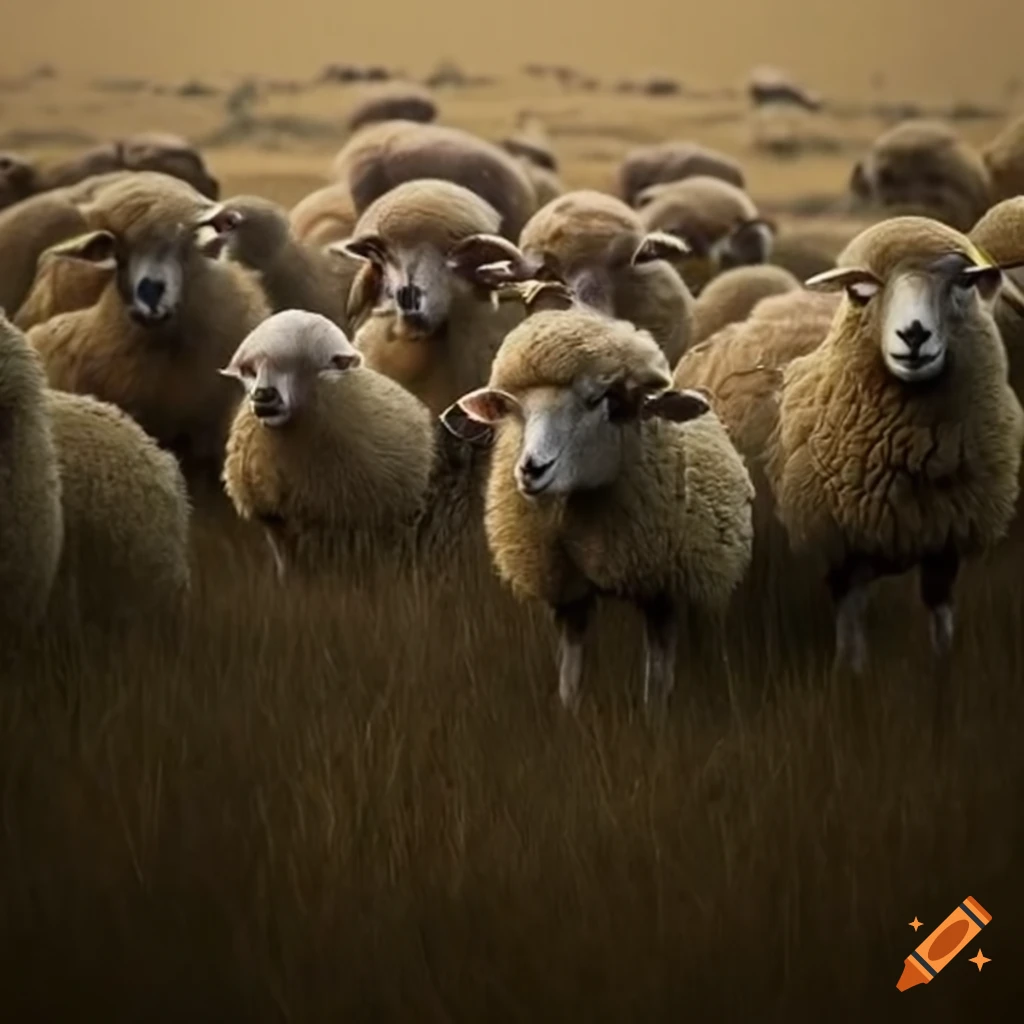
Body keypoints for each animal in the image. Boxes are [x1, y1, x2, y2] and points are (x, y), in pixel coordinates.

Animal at [442, 308, 754, 712]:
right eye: (516, 408)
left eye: (598, 400)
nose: (531, 469)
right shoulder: (568, 596)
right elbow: (569, 682)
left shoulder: (663, 593)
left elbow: (657, 687)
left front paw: (656, 722)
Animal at [721, 218, 1022, 704]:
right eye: (861, 290)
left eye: (963, 282)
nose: (914, 335)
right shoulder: (840, 547)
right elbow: (850, 646)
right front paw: (851, 693)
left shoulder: (945, 544)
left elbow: (942, 633)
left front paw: (941, 686)